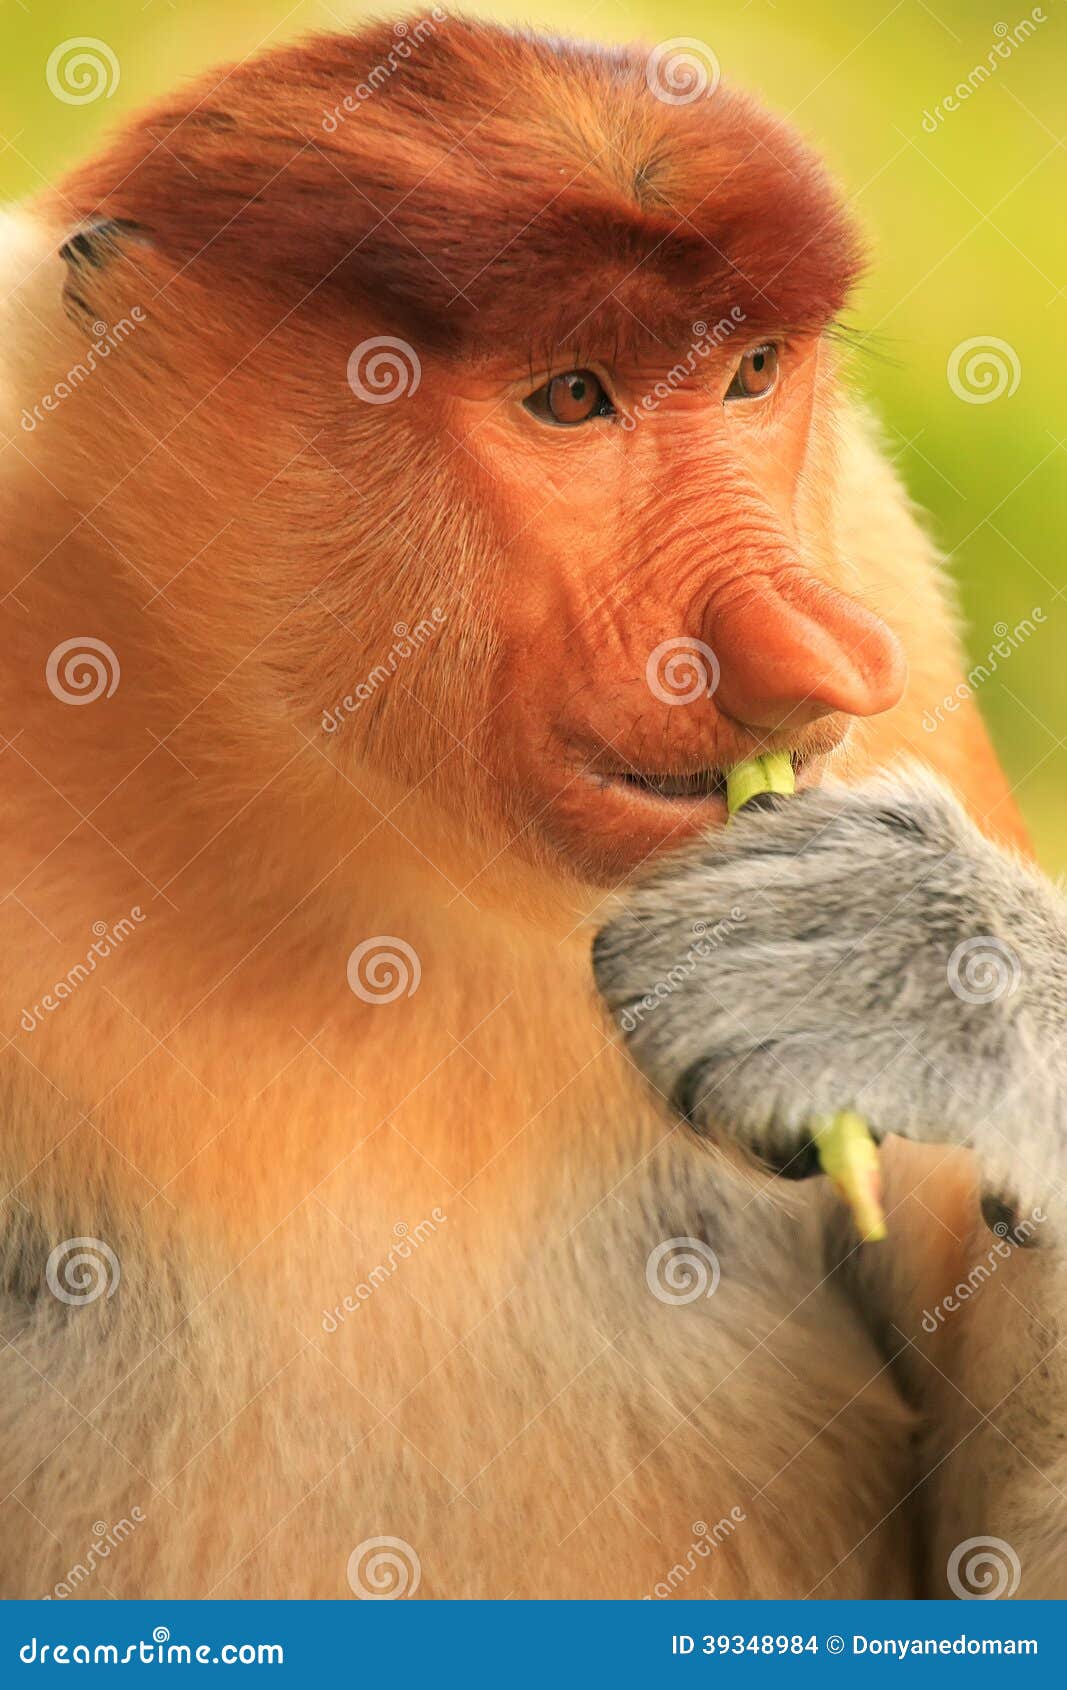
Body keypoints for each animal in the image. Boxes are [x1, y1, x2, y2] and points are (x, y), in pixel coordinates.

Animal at [0, 14, 1060, 1600]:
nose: (823, 654)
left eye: (750, 372)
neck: (336, 817)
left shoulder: (885, 590)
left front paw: (920, 970)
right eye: (572, 395)